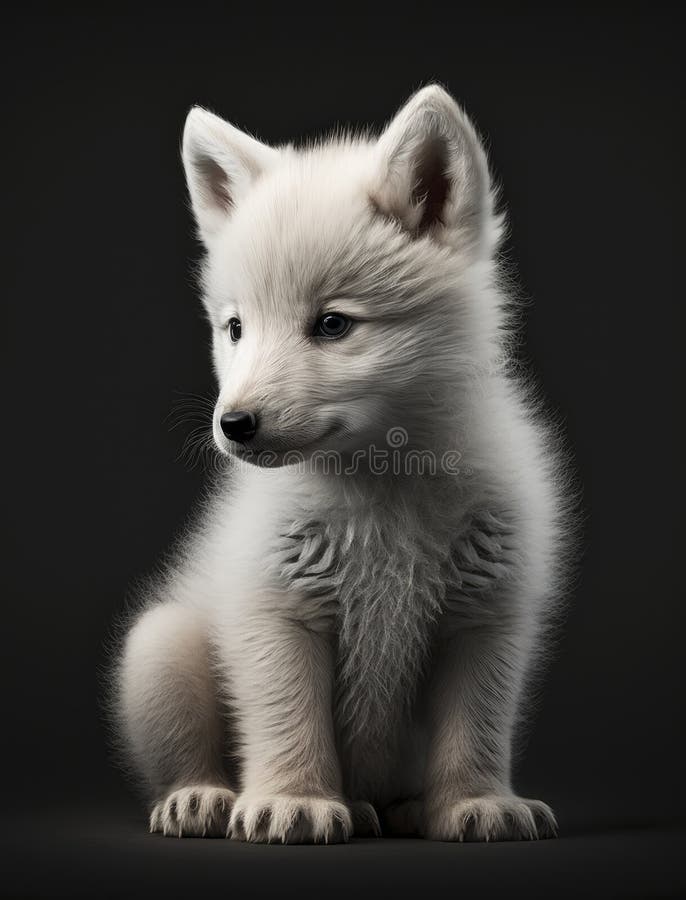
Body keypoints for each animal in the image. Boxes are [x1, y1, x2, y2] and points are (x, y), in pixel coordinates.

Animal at [114, 85, 571, 843]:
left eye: (333, 324)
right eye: (236, 328)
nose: (233, 426)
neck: (382, 486)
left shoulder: (486, 619)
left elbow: (475, 727)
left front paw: (475, 802)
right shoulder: (275, 610)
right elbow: (286, 716)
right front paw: (292, 800)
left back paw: (404, 808)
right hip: (161, 643)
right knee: (184, 746)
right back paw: (201, 797)